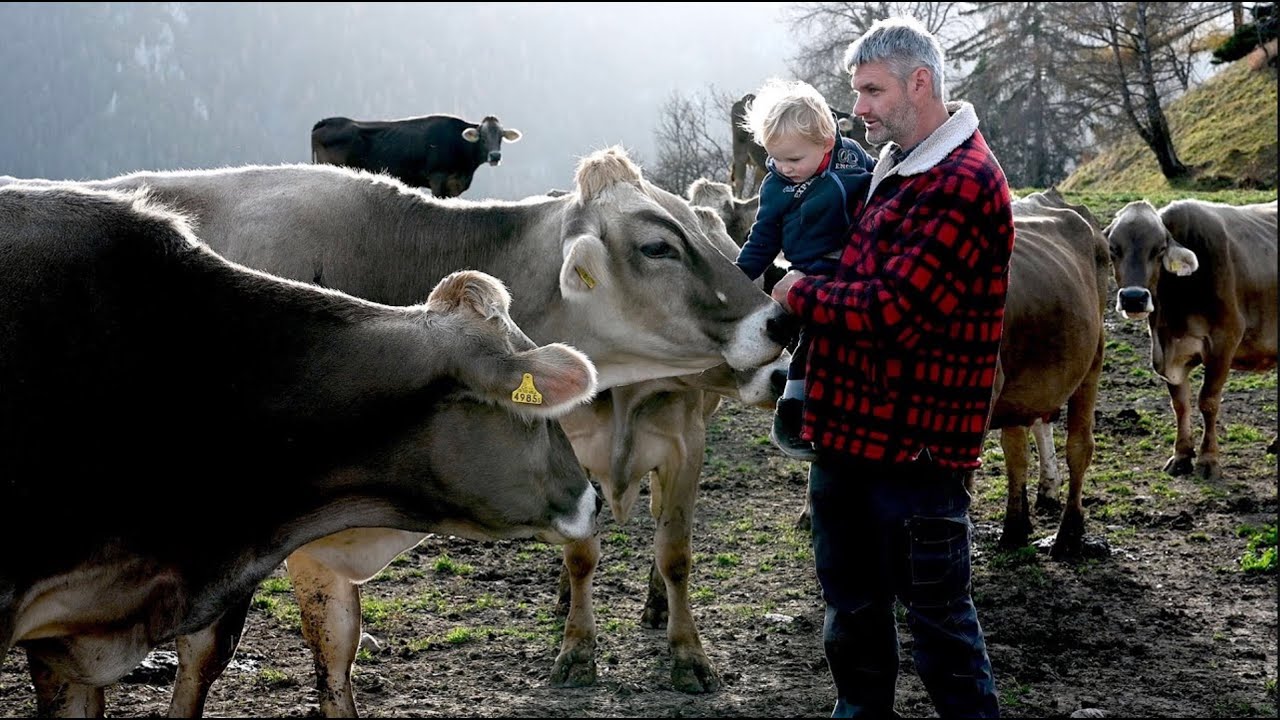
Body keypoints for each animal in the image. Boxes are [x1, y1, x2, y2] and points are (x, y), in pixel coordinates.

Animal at [310, 113, 521, 198]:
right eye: (483, 138)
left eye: (501, 136)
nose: (495, 156)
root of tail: (325, 122)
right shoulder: (437, 178)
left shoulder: (454, 185)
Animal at [1104, 198, 1278, 480]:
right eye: (1113, 248)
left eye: (1159, 249)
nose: (1133, 298)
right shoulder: (1165, 352)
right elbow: (1180, 404)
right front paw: (1182, 455)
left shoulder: (1223, 343)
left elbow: (1208, 401)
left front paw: (1208, 460)